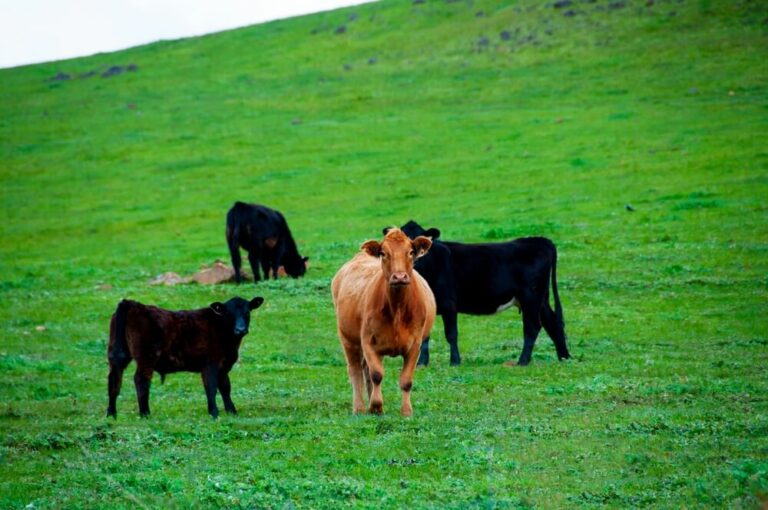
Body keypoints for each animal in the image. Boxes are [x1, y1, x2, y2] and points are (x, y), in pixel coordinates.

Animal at [106, 296, 264, 418]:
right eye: (229, 313)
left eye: (247, 312)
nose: (240, 329)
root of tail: (133, 305)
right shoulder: (210, 364)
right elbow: (211, 388)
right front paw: (214, 413)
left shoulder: (223, 366)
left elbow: (225, 387)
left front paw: (232, 412)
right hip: (146, 357)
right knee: (141, 380)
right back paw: (145, 414)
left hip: (116, 354)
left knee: (114, 379)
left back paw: (111, 414)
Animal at [331, 228, 436, 416]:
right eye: (383, 253)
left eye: (411, 252)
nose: (399, 276)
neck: (397, 310)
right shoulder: (367, 342)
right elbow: (377, 374)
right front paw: (376, 406)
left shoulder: (415, 345)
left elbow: (406, 380)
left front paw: (406, 411)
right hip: (347, 338)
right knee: (355, 370)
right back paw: (359, 407)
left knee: (364, 370)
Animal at [392, 220, 570, 367]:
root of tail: (539, 240)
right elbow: (424, 337)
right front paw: (422, 363)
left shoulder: (449, 304)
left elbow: (451, 334)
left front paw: (455, 361)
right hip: (541, 298)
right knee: (553, 322)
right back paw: (564, 357)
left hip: (531, 296)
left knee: (532, 326)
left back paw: (523, 361)